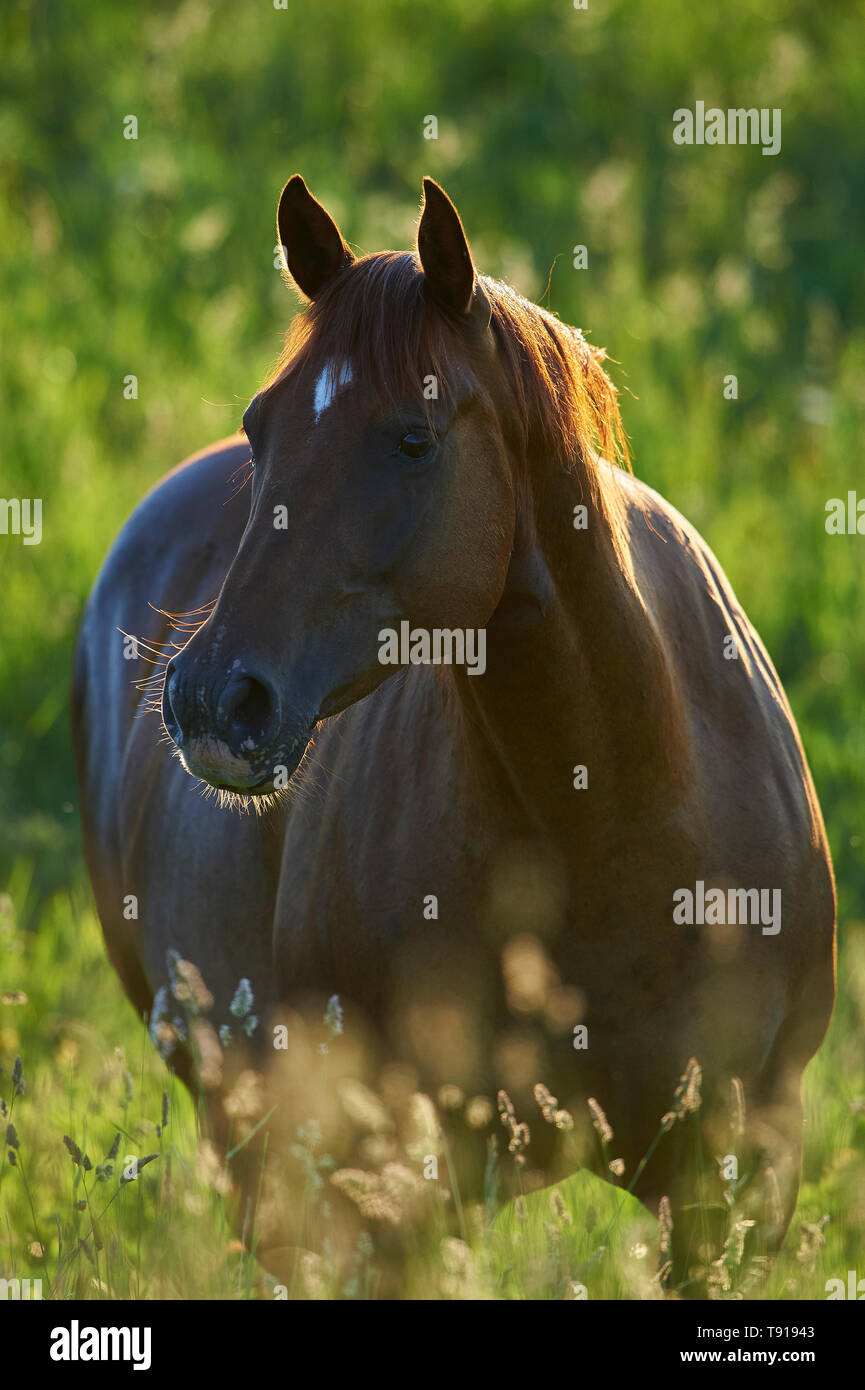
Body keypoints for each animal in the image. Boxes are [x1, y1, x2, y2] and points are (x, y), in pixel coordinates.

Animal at [72, 174, 836, 1295]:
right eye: (261, 429)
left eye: (412, 439)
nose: (214, 701)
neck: (616, 811)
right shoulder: (393, 1185)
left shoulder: (733, 1189)